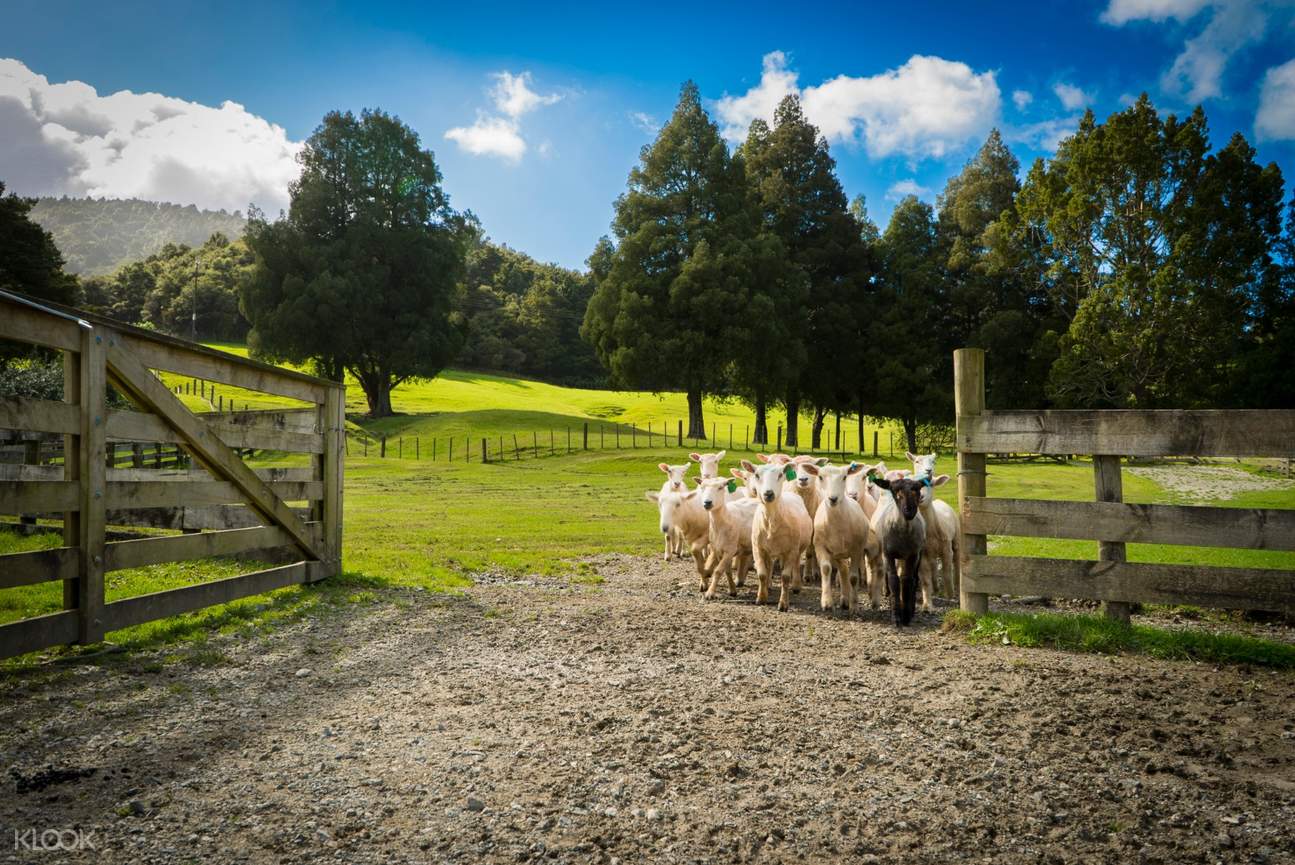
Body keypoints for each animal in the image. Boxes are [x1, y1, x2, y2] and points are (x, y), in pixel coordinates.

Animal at [742, 459, 813, 611]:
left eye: (780, 475)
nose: (768, 493)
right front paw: (761, 598)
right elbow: (762, 574)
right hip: (770, 549)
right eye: (756, 475)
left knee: (796, 563)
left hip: (798, 547)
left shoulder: (791, 550)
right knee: (769, 565)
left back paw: (796, 586)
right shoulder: (758, 548)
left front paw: (783, 604)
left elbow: (785, 577)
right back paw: (768, 585)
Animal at [802, 461, 872, 611]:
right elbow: (826, 569)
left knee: (846, 570)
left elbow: (853, 577)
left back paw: (847, 600)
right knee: (843, 569)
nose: (833, 499)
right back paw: (844, 599)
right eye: (820, 477)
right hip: (837, 553)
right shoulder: (821, 546)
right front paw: (827, 602)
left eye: (845, 477)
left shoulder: (857, 550)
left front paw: (854, 605)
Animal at [870, 476, 927, 626]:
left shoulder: (913, 554)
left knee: (915, 578)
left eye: (918, 489)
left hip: (919, 552)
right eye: (894, 490)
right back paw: (887, 592)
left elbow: (907, 580)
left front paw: (906, 615)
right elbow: (894, 580)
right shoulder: (888, 554)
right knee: (888, 575)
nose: (909, 511)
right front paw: (895, 616)